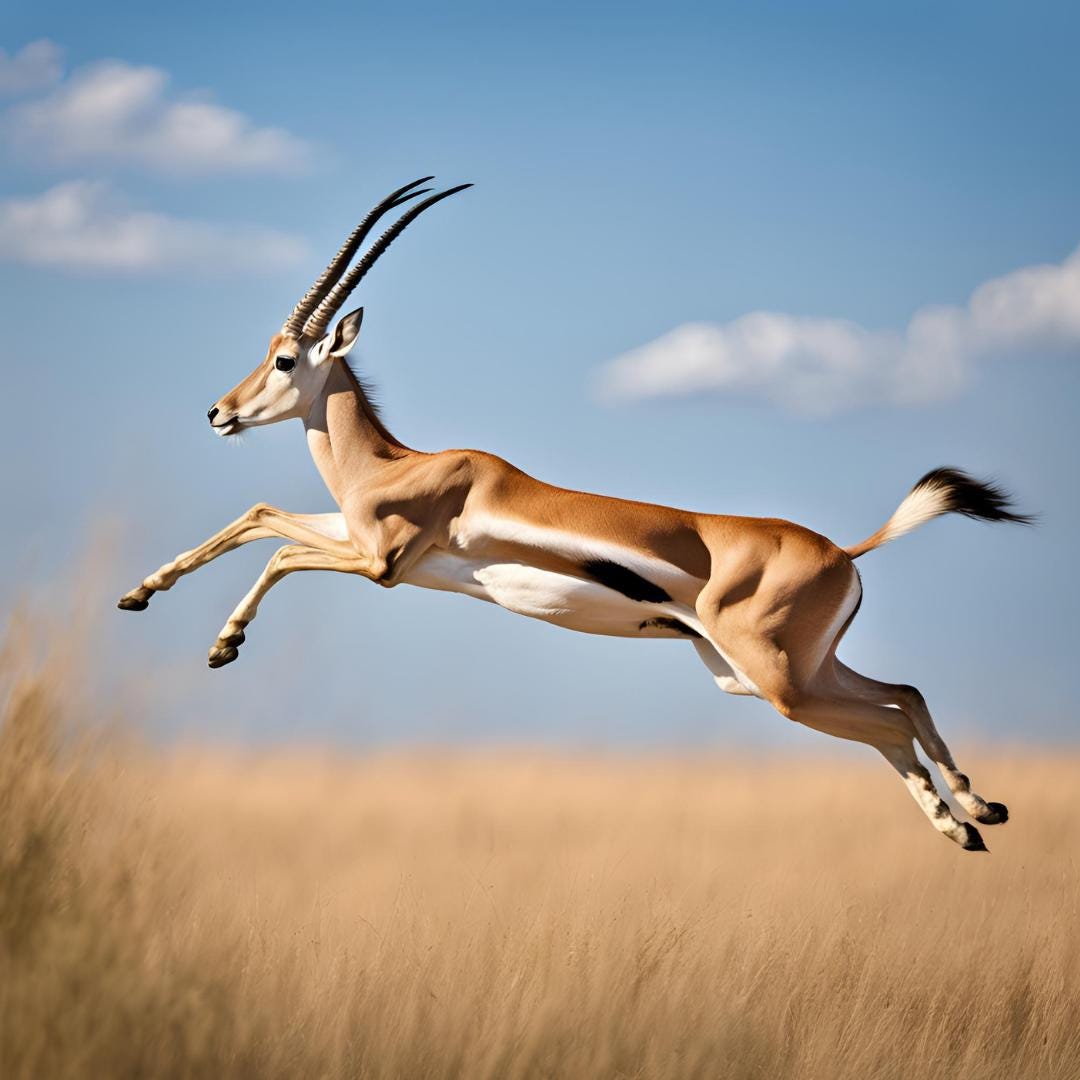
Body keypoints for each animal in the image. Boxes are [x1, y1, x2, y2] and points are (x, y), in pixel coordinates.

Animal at [118, 177, 1031, 852]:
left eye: (284, 359)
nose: (219, 413)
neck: (402, 466)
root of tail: (845, 550)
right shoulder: (357, 535)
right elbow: (259, 513)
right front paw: (140, 595)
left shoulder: (381, 564)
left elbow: (277, 547)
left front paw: (223, 645)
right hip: (769, 673)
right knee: (903, 698)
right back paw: (972, 817)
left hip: (780, 684)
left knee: (888, 717)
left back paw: (968, 815)